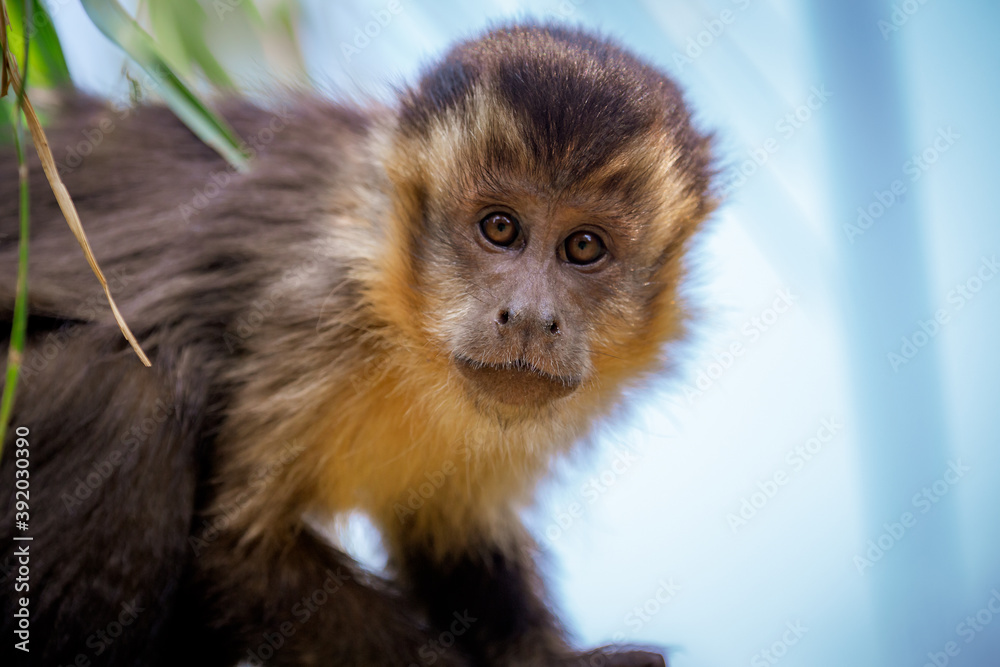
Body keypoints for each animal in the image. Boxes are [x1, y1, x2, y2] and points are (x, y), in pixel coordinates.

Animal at [0, 22, 716, 667]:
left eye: (584, 247)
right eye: (500, 229)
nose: (532, 318)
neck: (402, 327)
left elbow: (453, 534)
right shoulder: (316, 306)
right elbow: (239, 549)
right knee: (134, 387)